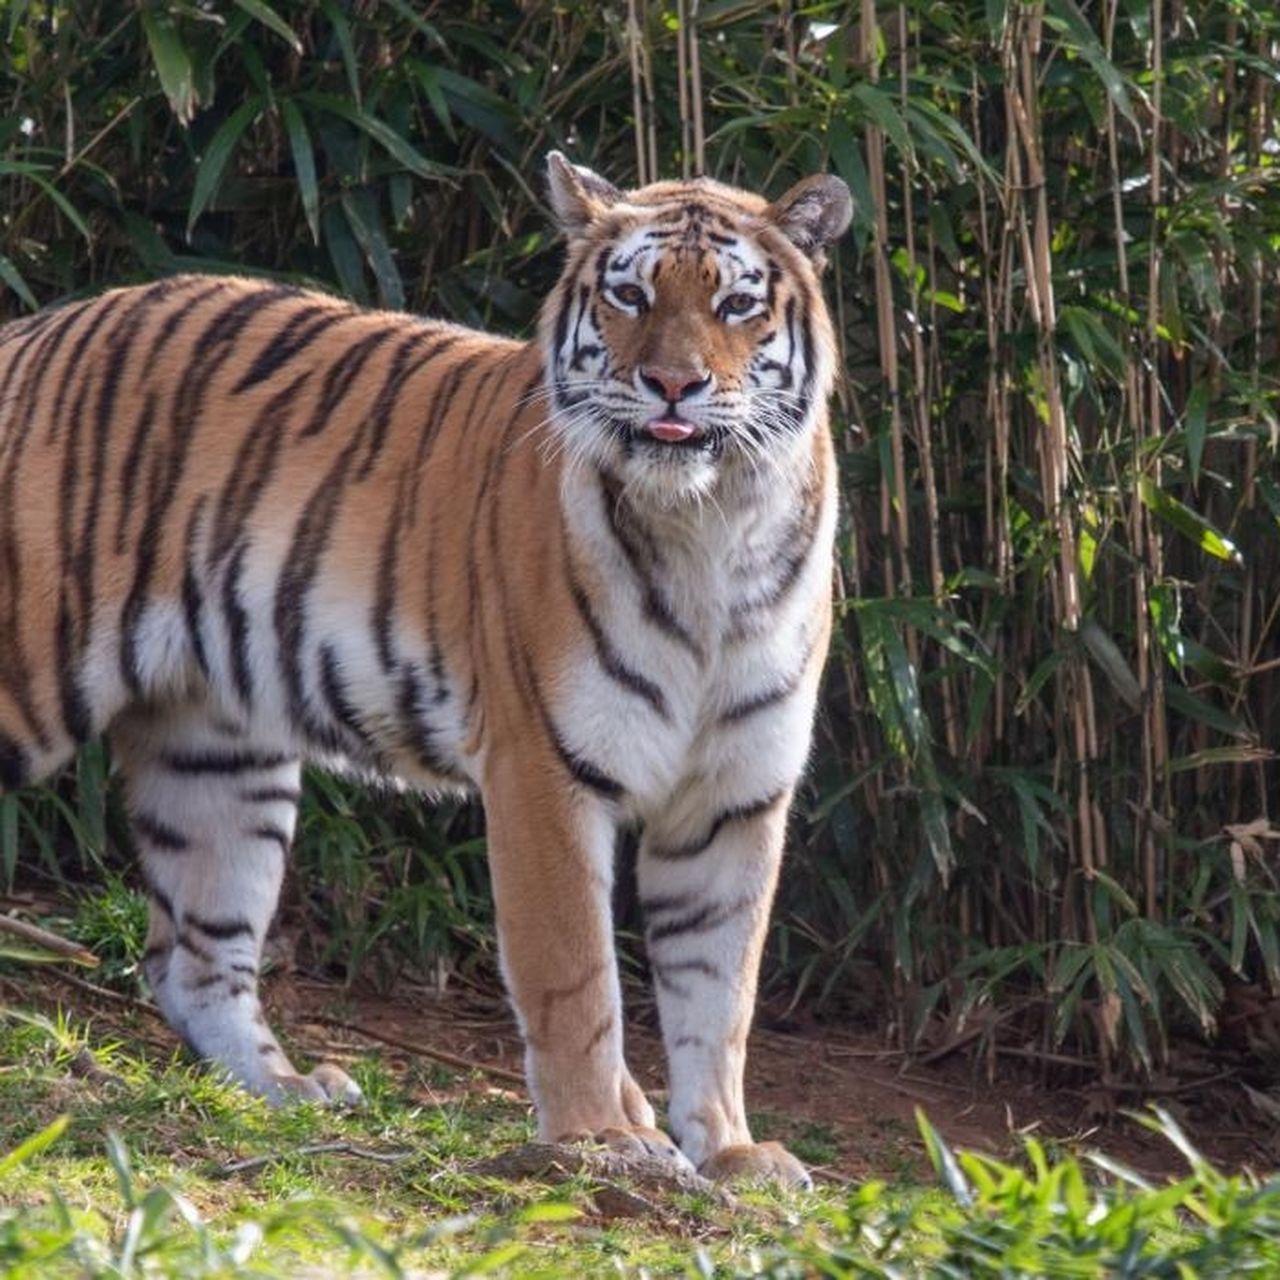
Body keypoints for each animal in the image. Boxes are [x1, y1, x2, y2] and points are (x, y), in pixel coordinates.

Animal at [0, 153, 850, 1187]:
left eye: (736, 304)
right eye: (630, 296)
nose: (672, 386)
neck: (713, 526)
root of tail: (32, 331)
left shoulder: (734, 796)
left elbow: (719, 994)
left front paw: (726, 1150)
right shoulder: (545, 770)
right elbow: (575, 975)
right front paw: (601, 1139)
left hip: (218, 755)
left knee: (189, 958)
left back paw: (286, 1090)